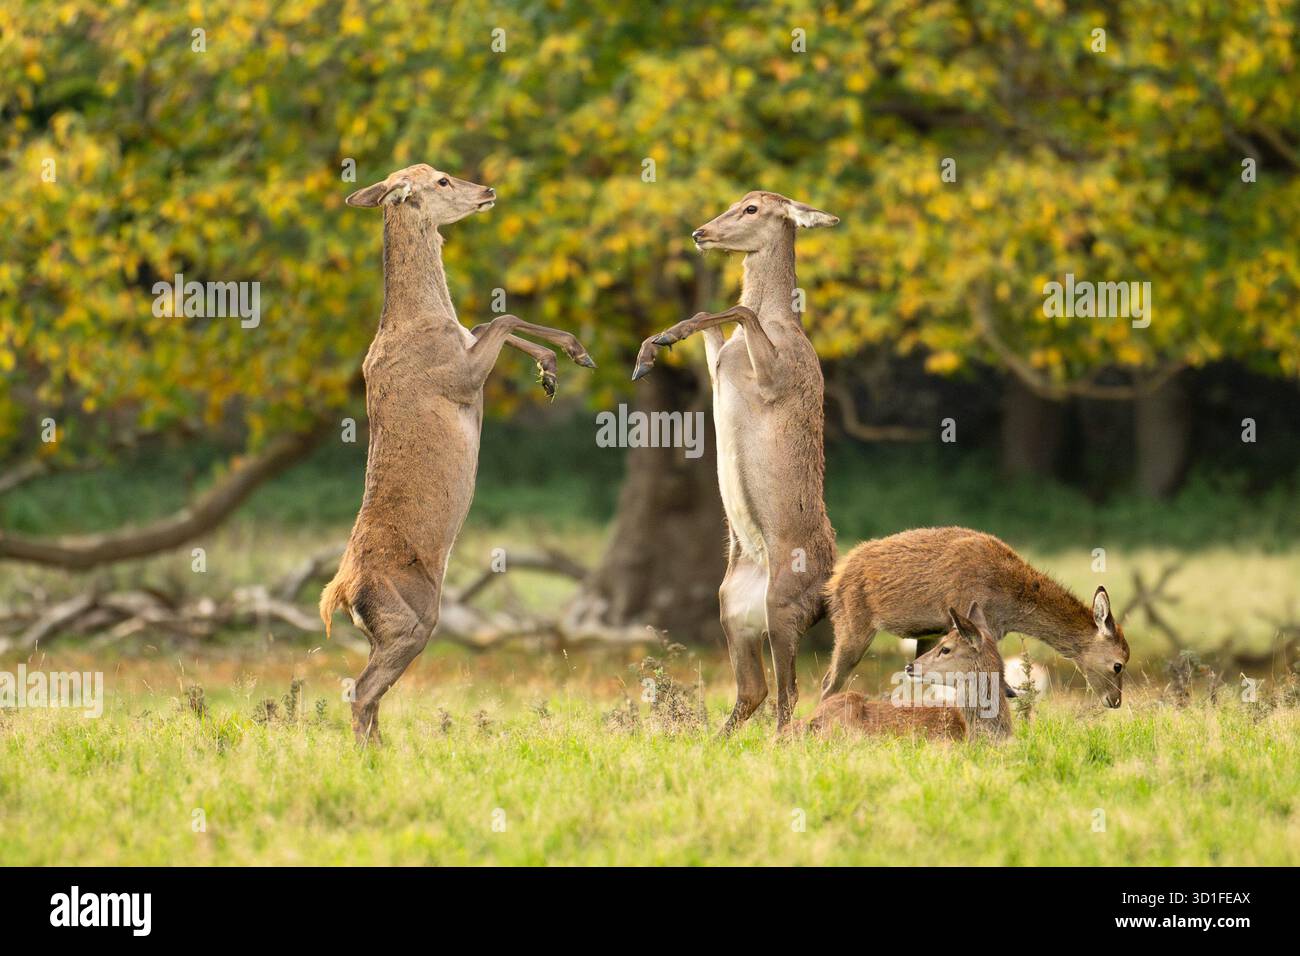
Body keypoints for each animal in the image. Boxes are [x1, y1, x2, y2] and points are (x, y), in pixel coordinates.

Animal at [320, 163, 595, 744]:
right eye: (442, 181)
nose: (487, 191)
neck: (423, 320)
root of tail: (341, 593)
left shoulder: (465, 346)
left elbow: (489, 323)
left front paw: (555, 367)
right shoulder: (458, 377)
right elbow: (503, 320)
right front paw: (568, 355)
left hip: (384, 630)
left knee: (365, 691)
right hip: (414, 617)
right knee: (361, 691)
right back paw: (371, 755)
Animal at [631, 191, 839, 734]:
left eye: (752, 209)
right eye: (734, 201)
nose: (700, 232)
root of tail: (828, 593)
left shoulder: (780, 377)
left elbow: (740, 307)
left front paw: (658, 342)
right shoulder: (720, 367)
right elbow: (713, 319)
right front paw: (652, 348)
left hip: (785, 603)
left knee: (790, 694)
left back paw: (776, 742)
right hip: (732, 609)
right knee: (755, 690)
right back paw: (716, 739)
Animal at [820, 526, 1131, 708]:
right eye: (1118, 664)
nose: (1115, 700)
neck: (1007, 608)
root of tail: (834, 579)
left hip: (924, 635)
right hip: (851, 621)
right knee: (828, 683)